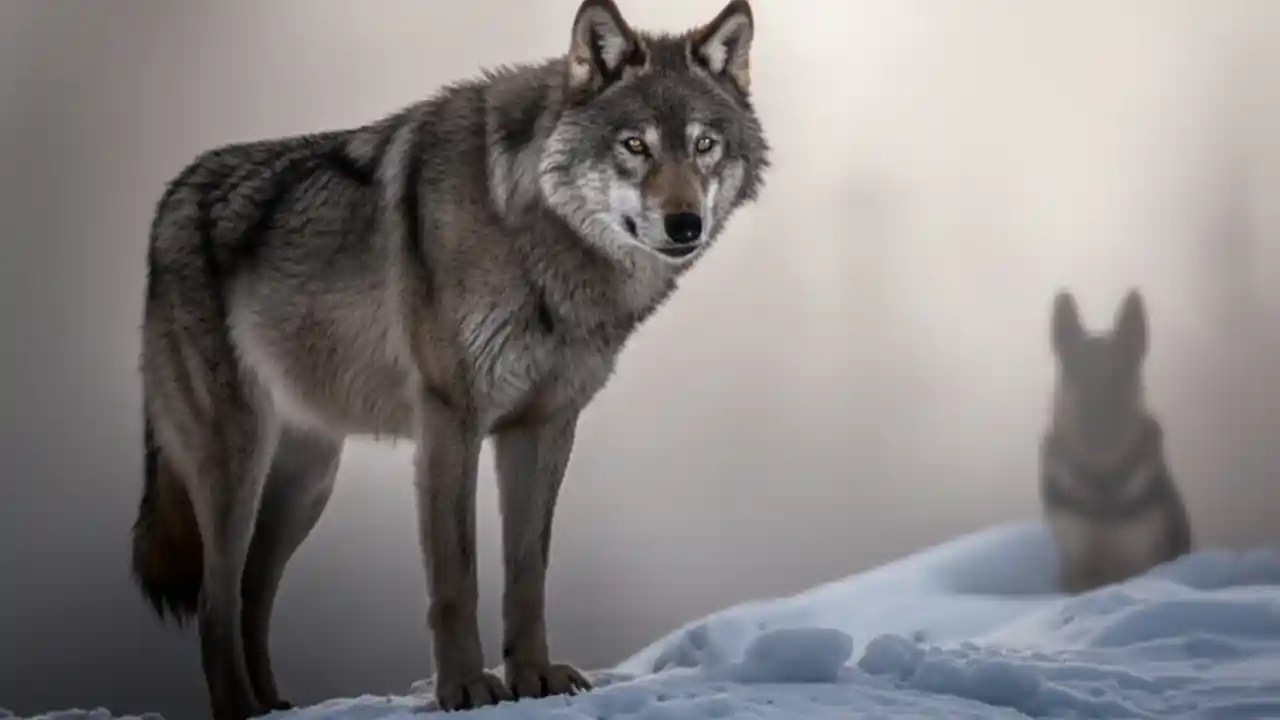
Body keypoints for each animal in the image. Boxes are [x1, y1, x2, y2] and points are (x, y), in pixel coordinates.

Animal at [130, 1, 768, 716]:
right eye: (635, 146)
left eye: (704, 145)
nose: (685, 224)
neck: (531, 235)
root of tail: (172, 198)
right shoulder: (449, 419)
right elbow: (456, 573)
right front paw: (465, 687)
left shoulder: (542, 427)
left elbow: (527, 570)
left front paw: (533, 678)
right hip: (235, 465)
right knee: (214, 603)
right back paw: (242, 708)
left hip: (307, 481)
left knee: (250, 593)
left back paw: (275, 706)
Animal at [1041, 289, 1192, 594]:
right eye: (1078, 376)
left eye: (1118, 378)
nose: (1096, 426)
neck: (1102, 475)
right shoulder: (1077, 567)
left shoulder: (1141, 562)